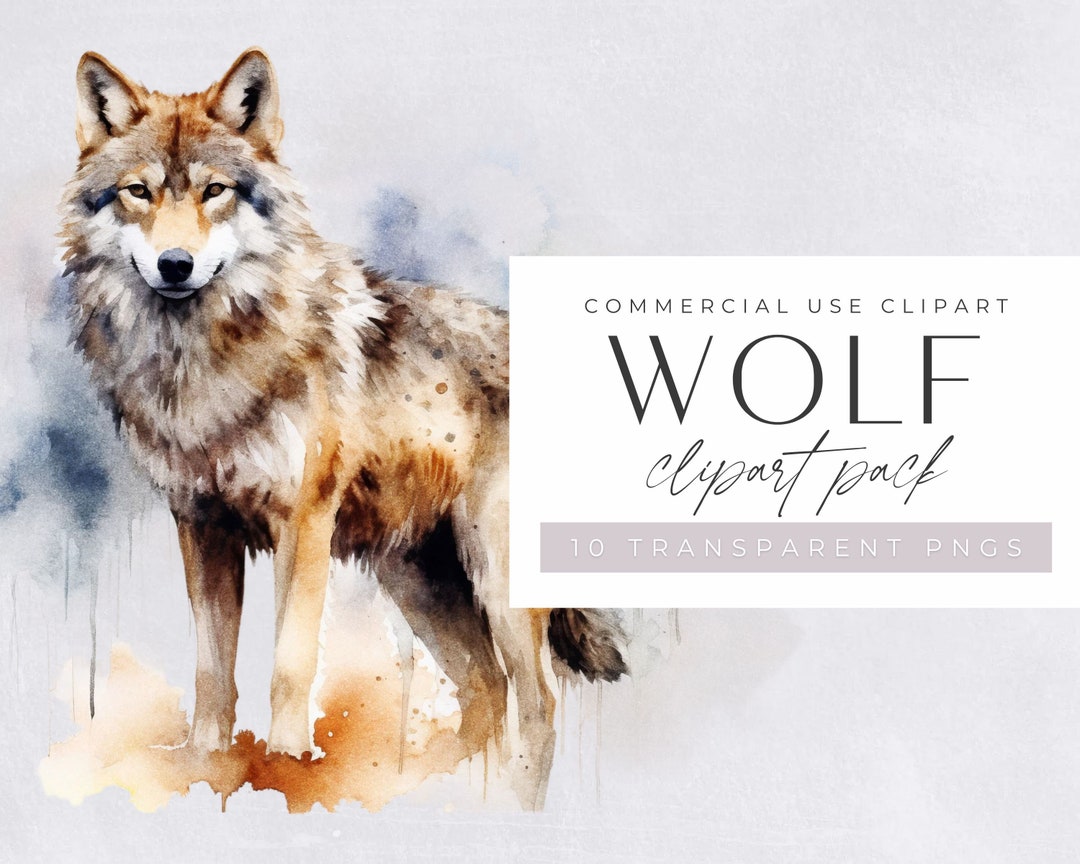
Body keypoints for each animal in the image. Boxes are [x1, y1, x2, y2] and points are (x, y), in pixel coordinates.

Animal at [60, 49, 626, 809]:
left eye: (215, 191)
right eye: (139, 193)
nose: (175, 265)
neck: (202, 361)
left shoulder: (302, 526)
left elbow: (289, 664)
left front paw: (286, 762)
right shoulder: (201, 527)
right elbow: (212, 670)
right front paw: (205, 762)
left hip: (494, 580)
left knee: (538, 706)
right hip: (419, 583)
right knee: (487, 692)